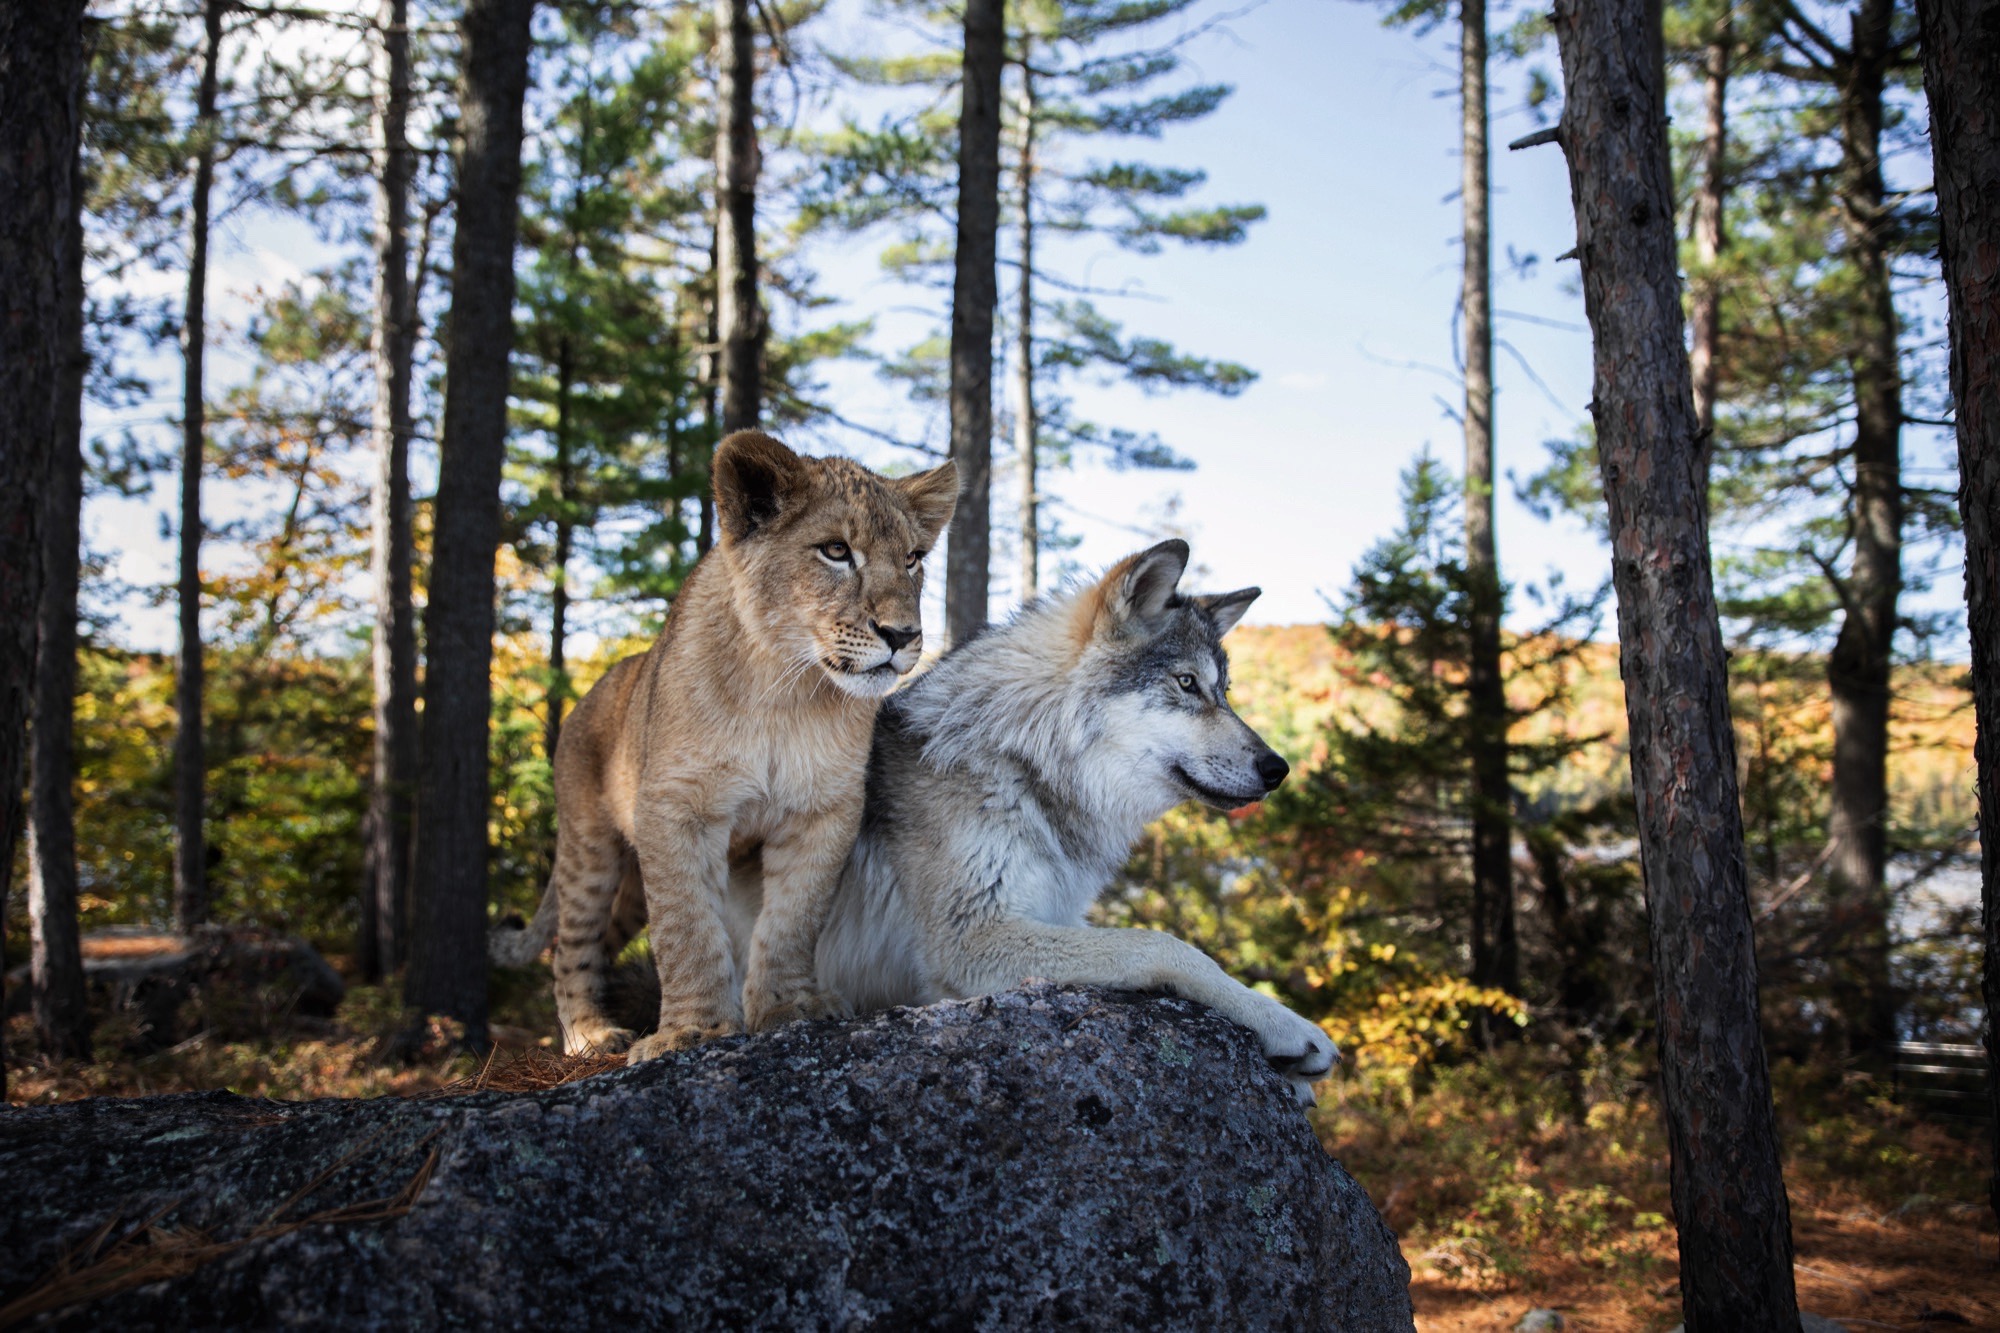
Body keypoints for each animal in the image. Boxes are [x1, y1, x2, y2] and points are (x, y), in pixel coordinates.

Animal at [493, 430, 957, 1062]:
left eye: (913, 558)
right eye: (836, 551)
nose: (903, 635)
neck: (786, 694)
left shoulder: (824, 812)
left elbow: (792, 919)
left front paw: (790, 1007)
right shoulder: (676, 812)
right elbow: (687, 929)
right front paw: (693, 1031)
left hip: (634, 882)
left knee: (608, 938)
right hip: (591, 849)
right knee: (571, 945)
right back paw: (589, 1033)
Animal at [804, 537, 1340, 1101]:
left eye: (1225, 693)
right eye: (1187, 683)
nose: (1278, 769)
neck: (1019, 759)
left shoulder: (1050, 913)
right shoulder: (970, 943)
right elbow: (1162, 943)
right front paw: (1288, 1027)